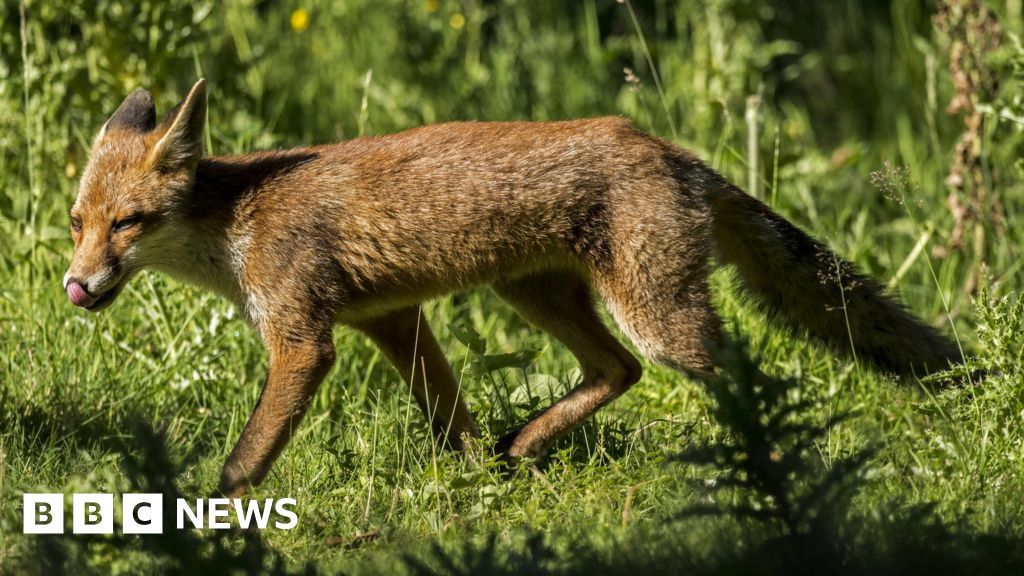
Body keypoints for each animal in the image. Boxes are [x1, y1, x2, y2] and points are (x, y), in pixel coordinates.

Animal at [66, 79, 963, 497]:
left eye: (129, 224)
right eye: (77, 221)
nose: (74, 286)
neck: (237, 224)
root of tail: (668, 148)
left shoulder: (303, 341)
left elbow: (247, 454)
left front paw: (212, 513)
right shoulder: (394, 321)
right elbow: (450, 421)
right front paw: (475, 487)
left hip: (659, 319)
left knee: (739, 372)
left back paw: (771, 465)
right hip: (540, 299)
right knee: (614, 372)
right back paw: (526, 446)